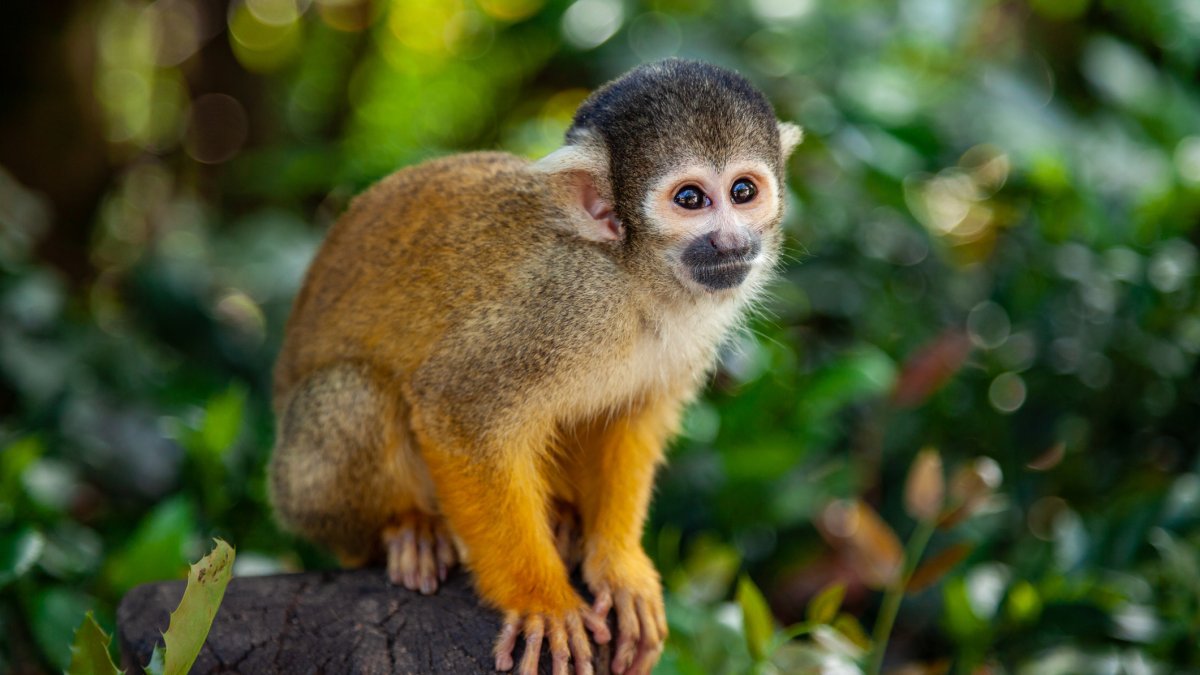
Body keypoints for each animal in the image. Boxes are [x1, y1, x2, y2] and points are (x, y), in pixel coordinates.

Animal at [268, 59, 802, 675]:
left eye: (743, 192)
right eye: (691, 199)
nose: (732, 241)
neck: (635, 277)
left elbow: (631, 422)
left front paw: (618, 564)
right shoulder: (560, 303)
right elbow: (460, 412)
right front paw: (542, 601)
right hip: (302, 493)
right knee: (352, 393)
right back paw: (406, 529)